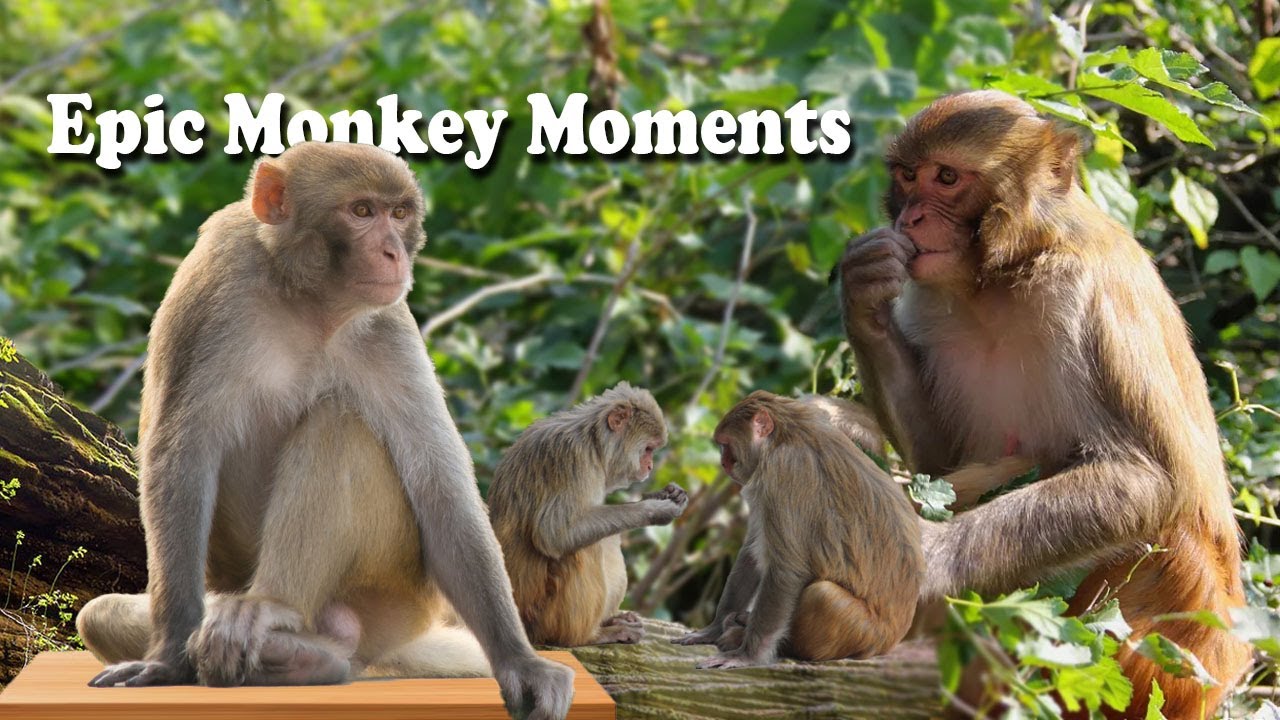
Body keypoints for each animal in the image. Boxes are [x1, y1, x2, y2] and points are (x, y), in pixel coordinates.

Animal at [74, 142, 574, 719]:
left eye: (398, 214)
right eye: (361, 212)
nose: (393, 253)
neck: (306, 300)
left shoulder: (388, 325)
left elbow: (438, 488)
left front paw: (520, 661)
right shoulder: (214, 284)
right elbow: (181, 457)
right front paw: (168, 657)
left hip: (396, 590)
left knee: (339, 426)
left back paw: (277, 618)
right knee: (101, 614)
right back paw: (289, 649)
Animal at [487, 383, 687, 647]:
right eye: (648, 449)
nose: (650, 466)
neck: (594, 442)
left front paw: (669, 494)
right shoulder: (571, 458)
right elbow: (554, 534)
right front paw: (655, 510)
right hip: (543, 618)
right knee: (585, 546)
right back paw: (587, 637)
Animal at [674, 391, 923, 667]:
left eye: (725, 445)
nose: (723, 463)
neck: (787, 436)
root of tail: (893, 637)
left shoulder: (783, 471)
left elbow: (787, 568)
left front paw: (747, 655)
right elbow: (752, 553)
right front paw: (714, 628)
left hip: (866, 634)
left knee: (823, 596)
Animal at [838, 90, 1251, 716]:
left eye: (947, 177)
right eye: (909, 176)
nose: (909, 219)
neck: (1000, 275)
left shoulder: (1080, 294)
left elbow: (1150, 479)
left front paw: (934, 557)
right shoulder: (929, 299)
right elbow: (940, 464)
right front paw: (863, 292)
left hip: (1178, 663)